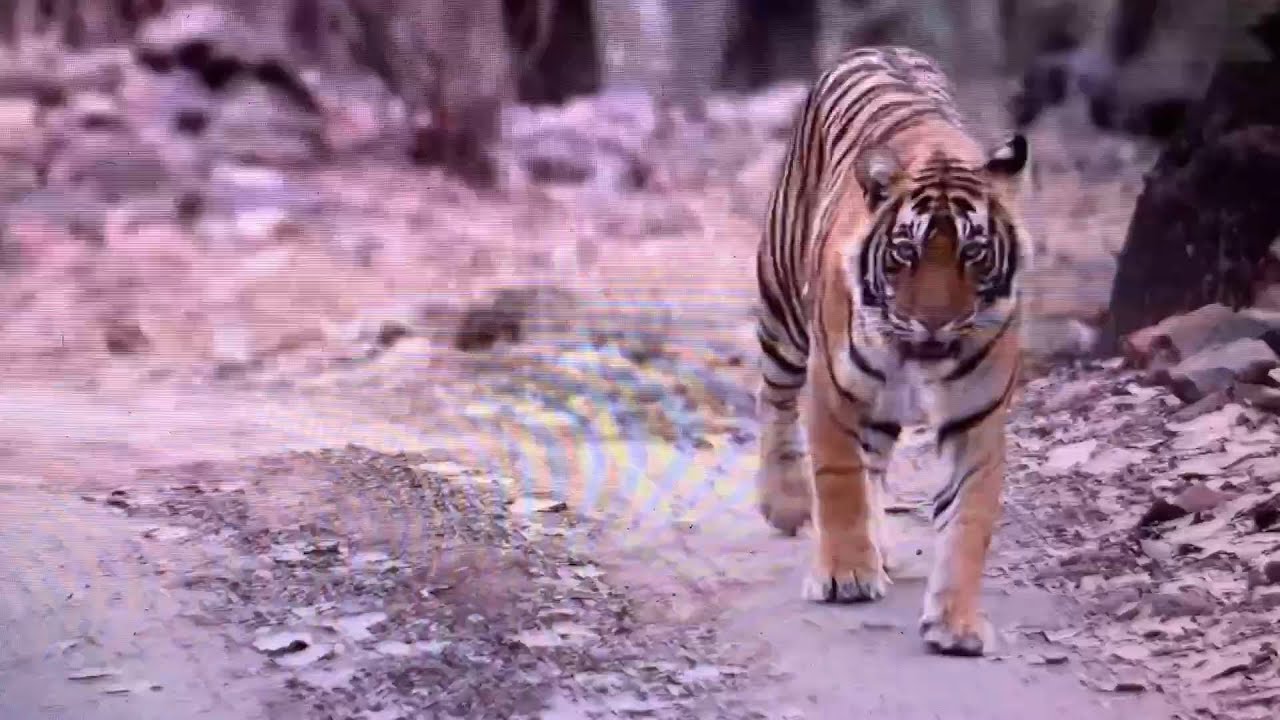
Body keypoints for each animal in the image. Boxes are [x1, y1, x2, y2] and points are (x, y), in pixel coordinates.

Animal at [752, 45, 1032, 658]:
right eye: (906, 252)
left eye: (973, 254)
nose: (934, 322)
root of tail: (878, 48)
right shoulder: (832, 387)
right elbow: (838, 477)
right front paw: (845, 576)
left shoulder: (977, 418)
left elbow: (969, 518)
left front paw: (956, 623)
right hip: (782, 307)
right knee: (774, 397)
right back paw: (786, 502)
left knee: (874, 464)